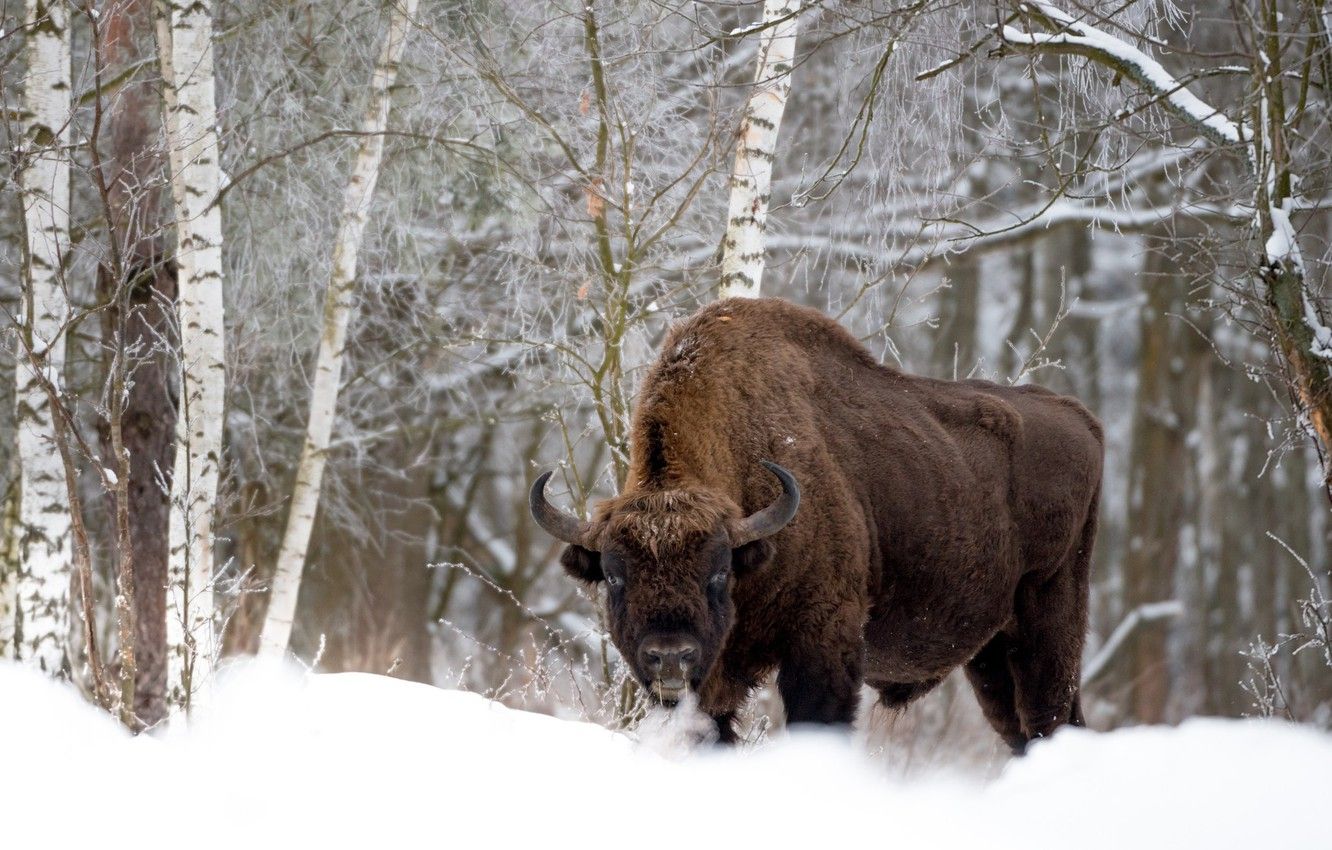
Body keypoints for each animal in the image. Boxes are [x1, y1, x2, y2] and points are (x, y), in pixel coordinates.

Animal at [531, 297, 1103, 752]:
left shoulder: (822, 642)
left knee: (1050, 719)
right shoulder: (717, 683)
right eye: (615, 576)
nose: (670, 659)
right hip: (991, 654)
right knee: (1020, 729)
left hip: (1050, 622)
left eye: (717, 573)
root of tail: (1081, 418)